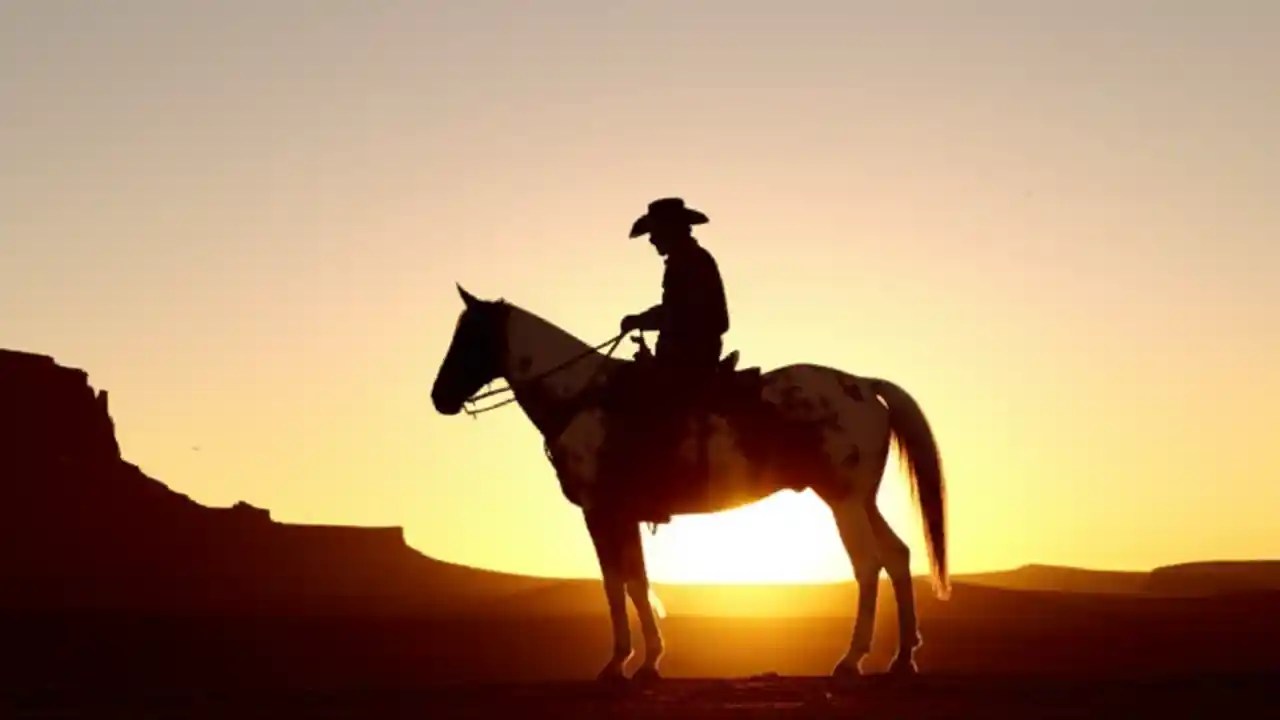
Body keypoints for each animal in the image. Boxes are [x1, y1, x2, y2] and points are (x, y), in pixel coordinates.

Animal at [430, 284, 949, 683]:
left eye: (469, 338)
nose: (439, 397)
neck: (579, 398)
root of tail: (864, 384)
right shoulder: (625, 516)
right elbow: (637, 583)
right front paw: (649, 663)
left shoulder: (601, 513)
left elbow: (614, 584)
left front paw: (618, 664)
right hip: (862, 501)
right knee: (897, 556)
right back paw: (903, 659)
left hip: (843, 502)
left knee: (868, 565)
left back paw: (851, 660)